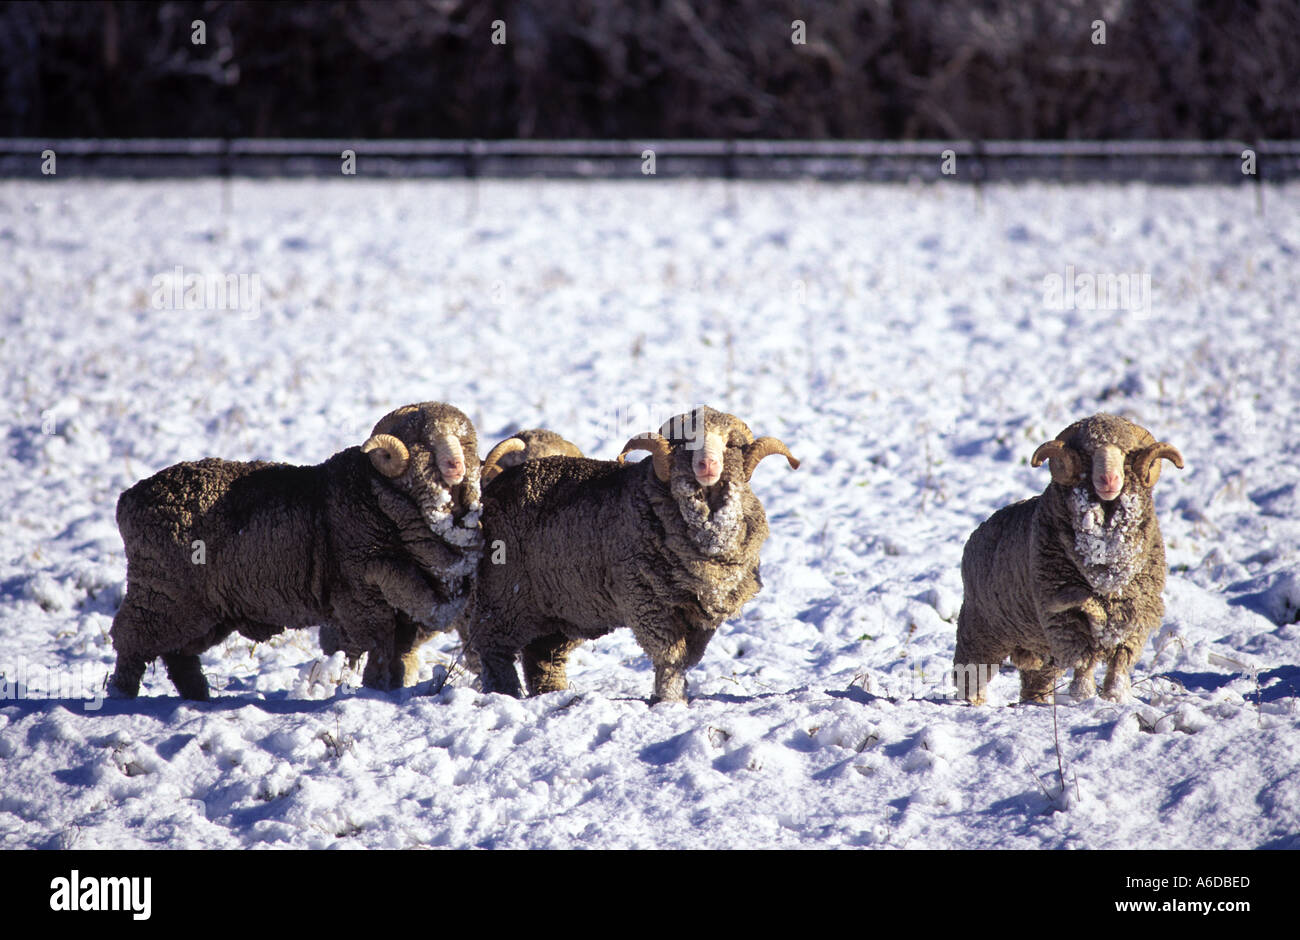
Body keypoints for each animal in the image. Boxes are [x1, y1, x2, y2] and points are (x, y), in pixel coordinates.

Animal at [108, 402, 484, 700]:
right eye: (424, 442)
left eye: (462, 440)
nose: (456, 466)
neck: (379, 499)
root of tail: (128, 499)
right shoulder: (364, 601)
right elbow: (379, 653)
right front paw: (377, 692)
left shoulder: (403, 612)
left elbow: (398, 657)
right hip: (162, 596)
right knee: (130, 643)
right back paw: (122, 698)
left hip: (203, 612)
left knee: (178, 656)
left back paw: (197, 698)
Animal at [465, 405, 798, 703]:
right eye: (686, 442)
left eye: (730, 444)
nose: (707, 465)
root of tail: (497, 485)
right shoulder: (648, 604)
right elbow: (670, 658)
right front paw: (670, 701)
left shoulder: (700, 619)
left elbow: (684, 659)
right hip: (502, 597)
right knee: (494, 651)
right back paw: (504, 693)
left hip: (559, 609)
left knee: (542, 657)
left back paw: (551, 694)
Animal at [952, 413, 1184, 705]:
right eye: (1087, 454)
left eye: (1125, 453)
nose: (1109, 480)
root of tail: (978, 531)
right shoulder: (1066, 618)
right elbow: (1085, 661)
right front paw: (1083, 696)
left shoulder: (1133, 616)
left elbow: (1119, 663)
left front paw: (1114, 697)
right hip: (981, 629)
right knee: (972, 673)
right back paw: (974, 702)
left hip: (1040, 646)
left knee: (1036, 680)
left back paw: (1037, 702)